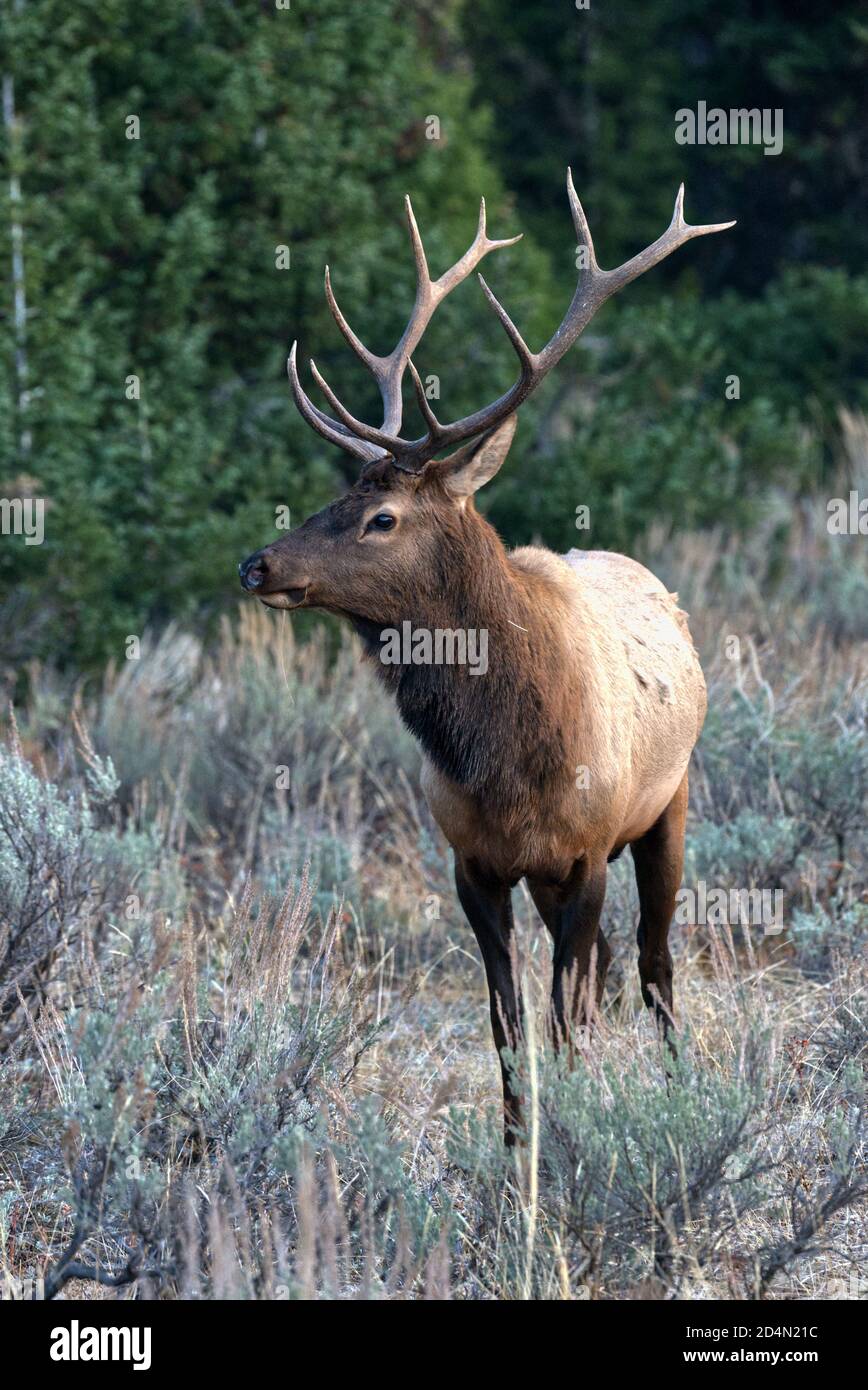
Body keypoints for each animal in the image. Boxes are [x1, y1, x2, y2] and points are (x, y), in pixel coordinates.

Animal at [239, 174, 734, 1141]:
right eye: (334, 495)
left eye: (381, 517)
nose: (259, 564)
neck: (506, 758)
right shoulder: (475, 863)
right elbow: (508, 1026)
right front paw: (515, 1150)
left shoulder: (586, 853)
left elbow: (563, 1021)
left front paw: (567, 1137)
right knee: (608, 966)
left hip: (670, 802)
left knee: (653, 964)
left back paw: (684, 1088)